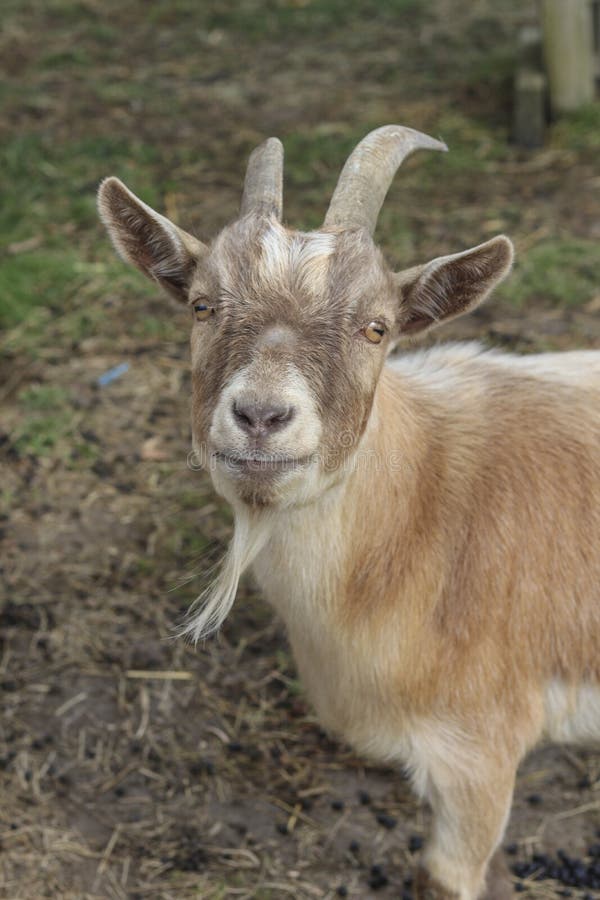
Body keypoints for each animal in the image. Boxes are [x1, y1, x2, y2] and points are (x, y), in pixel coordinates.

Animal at [98, 125, 600, 900]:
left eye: (377, 327)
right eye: (202, 305)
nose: (261, 416)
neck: (425, 511)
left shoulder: (481, 751)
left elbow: (447, 874)